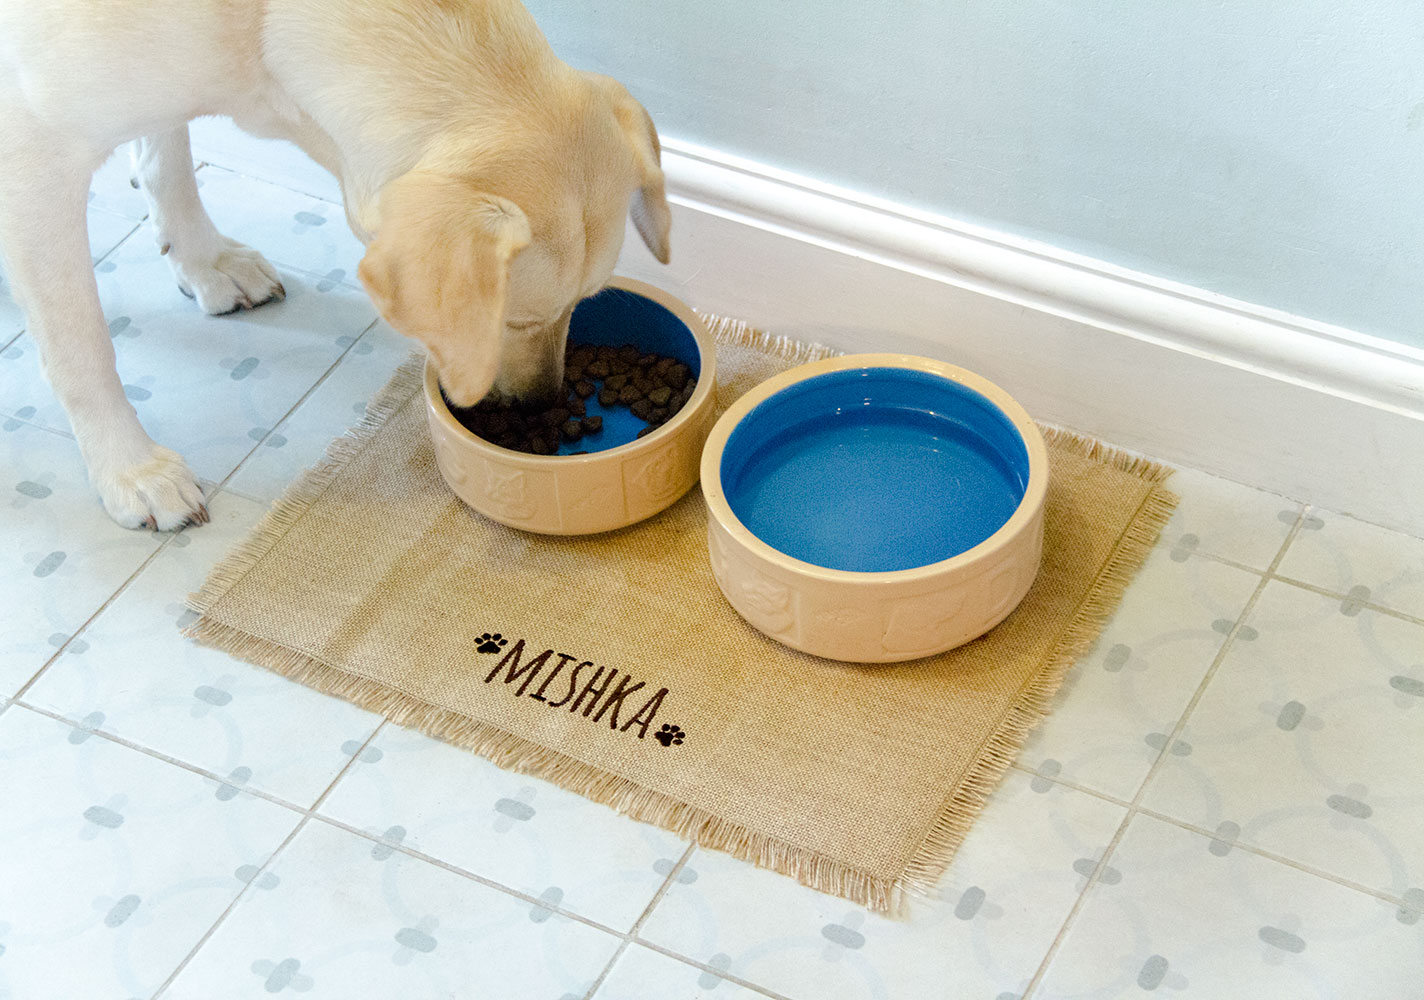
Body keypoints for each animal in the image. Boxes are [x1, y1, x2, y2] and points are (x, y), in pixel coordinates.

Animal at [0, 0, 669, 532]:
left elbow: (167, 153)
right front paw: (130, 469)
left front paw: (203, 259)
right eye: (516, 320)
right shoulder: (35, 149)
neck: (258, 26)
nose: (540, 404)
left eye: (581, 305)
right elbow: (81, 349)